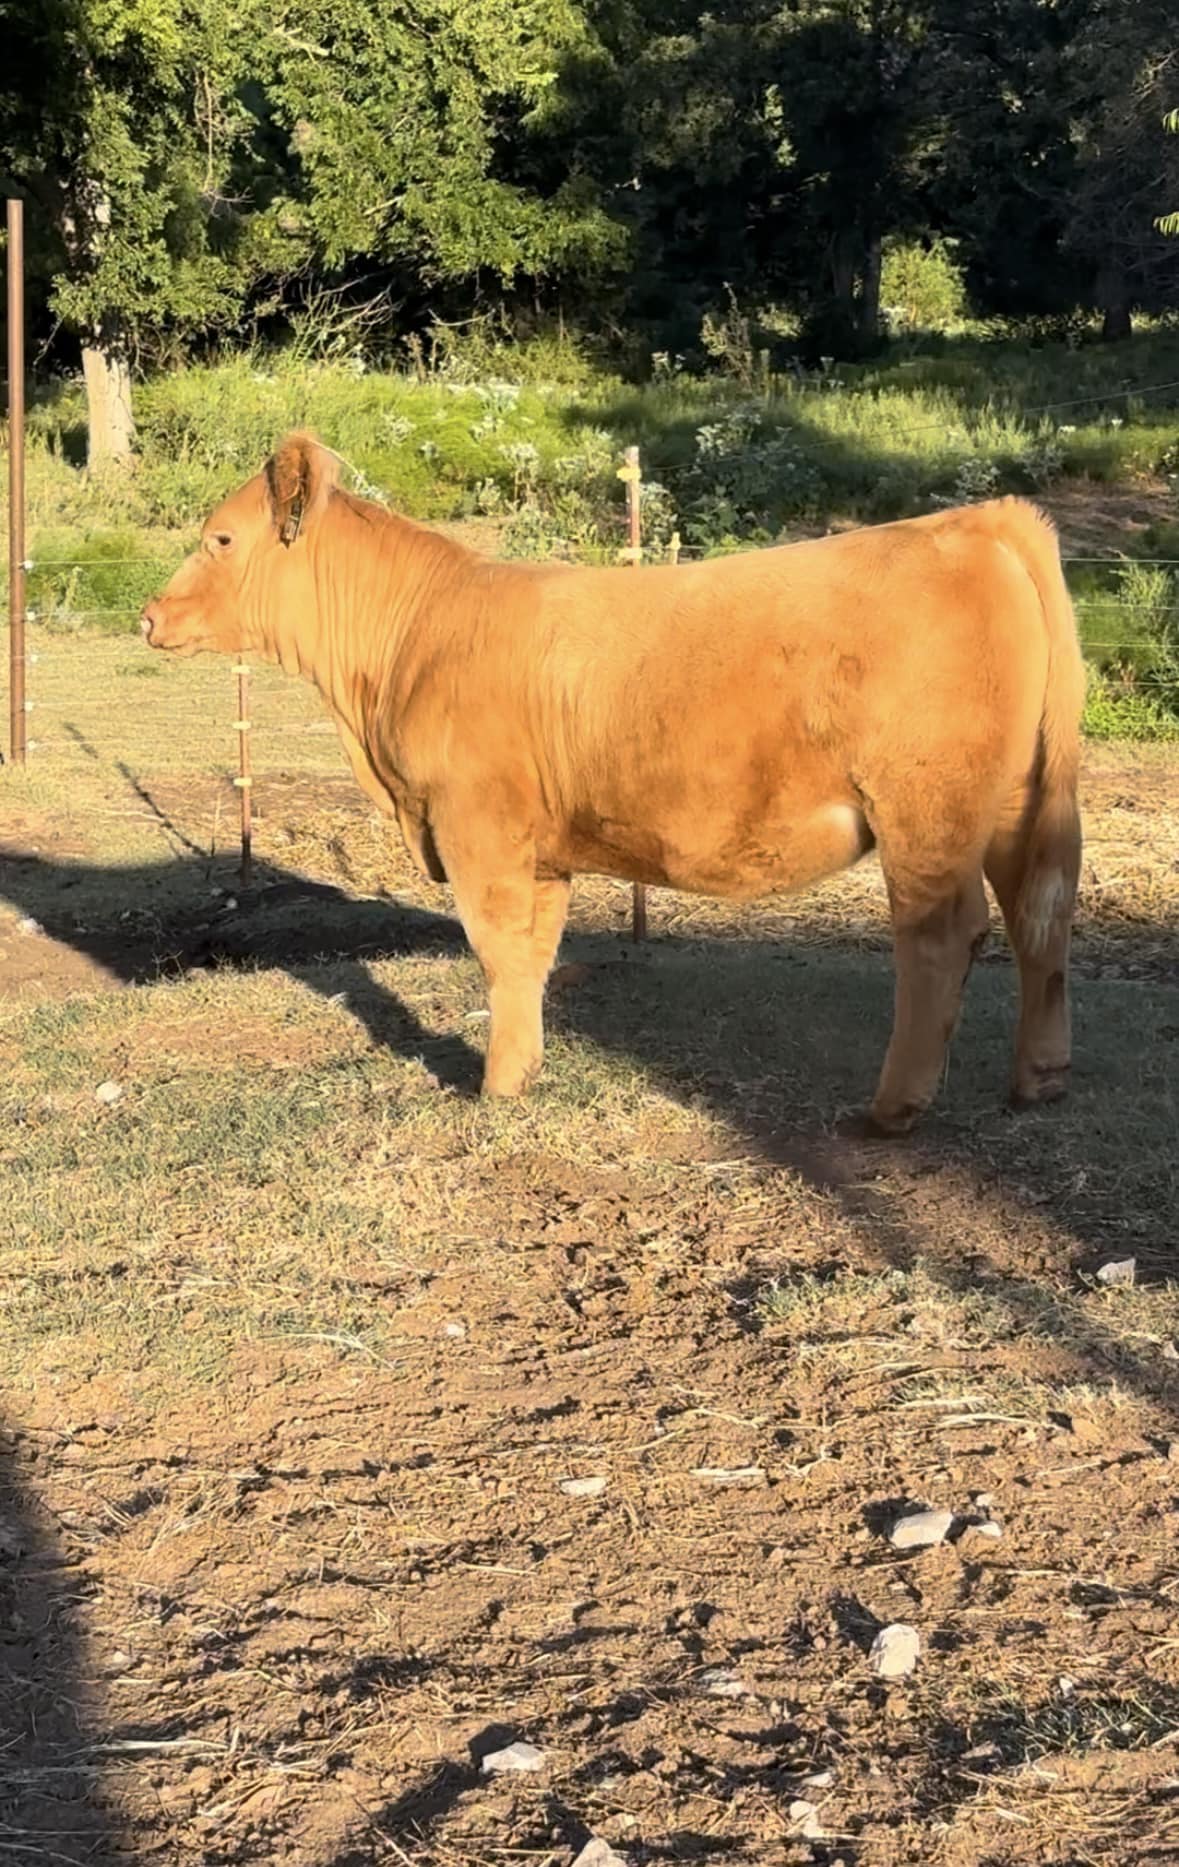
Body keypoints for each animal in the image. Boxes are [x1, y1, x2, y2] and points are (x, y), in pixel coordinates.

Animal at [142, 431, 1085, 1133]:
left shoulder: (476, 825)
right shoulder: (541, 849)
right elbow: (532, 955)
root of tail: (978, 522)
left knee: (942, 934)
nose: (149, 616)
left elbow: (495, 949)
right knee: (1041, 916)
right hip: (1025, 801)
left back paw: (892, 1108)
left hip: (924, 806)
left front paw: (494, 1086)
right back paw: (1038, 1080)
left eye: (220, 538)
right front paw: (522, 1070)